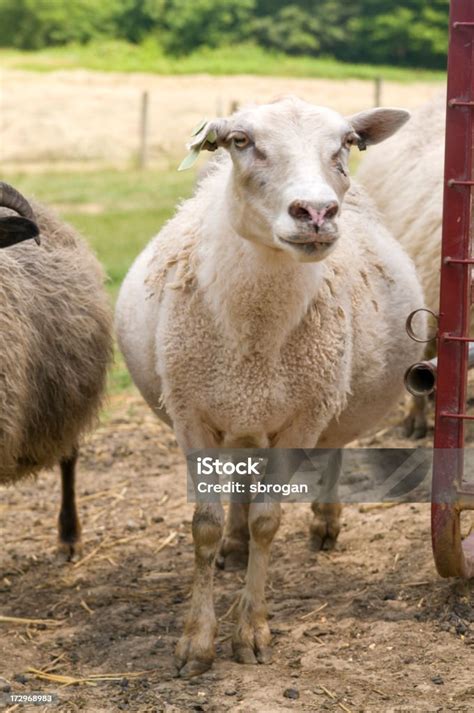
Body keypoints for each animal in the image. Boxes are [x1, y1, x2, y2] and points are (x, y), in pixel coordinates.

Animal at [116, 96, 425, 677]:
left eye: (347, 143)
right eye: (241, 141)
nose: (317, 213)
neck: (255, 337)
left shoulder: (300, 417)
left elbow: (268, 519)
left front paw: (251, 632)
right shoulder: (192, 414)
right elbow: (205, 524)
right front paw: (196, 641)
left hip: (323, 400)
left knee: (331, 451)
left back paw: (324, 524)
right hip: (239, 418)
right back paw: (235, 547)